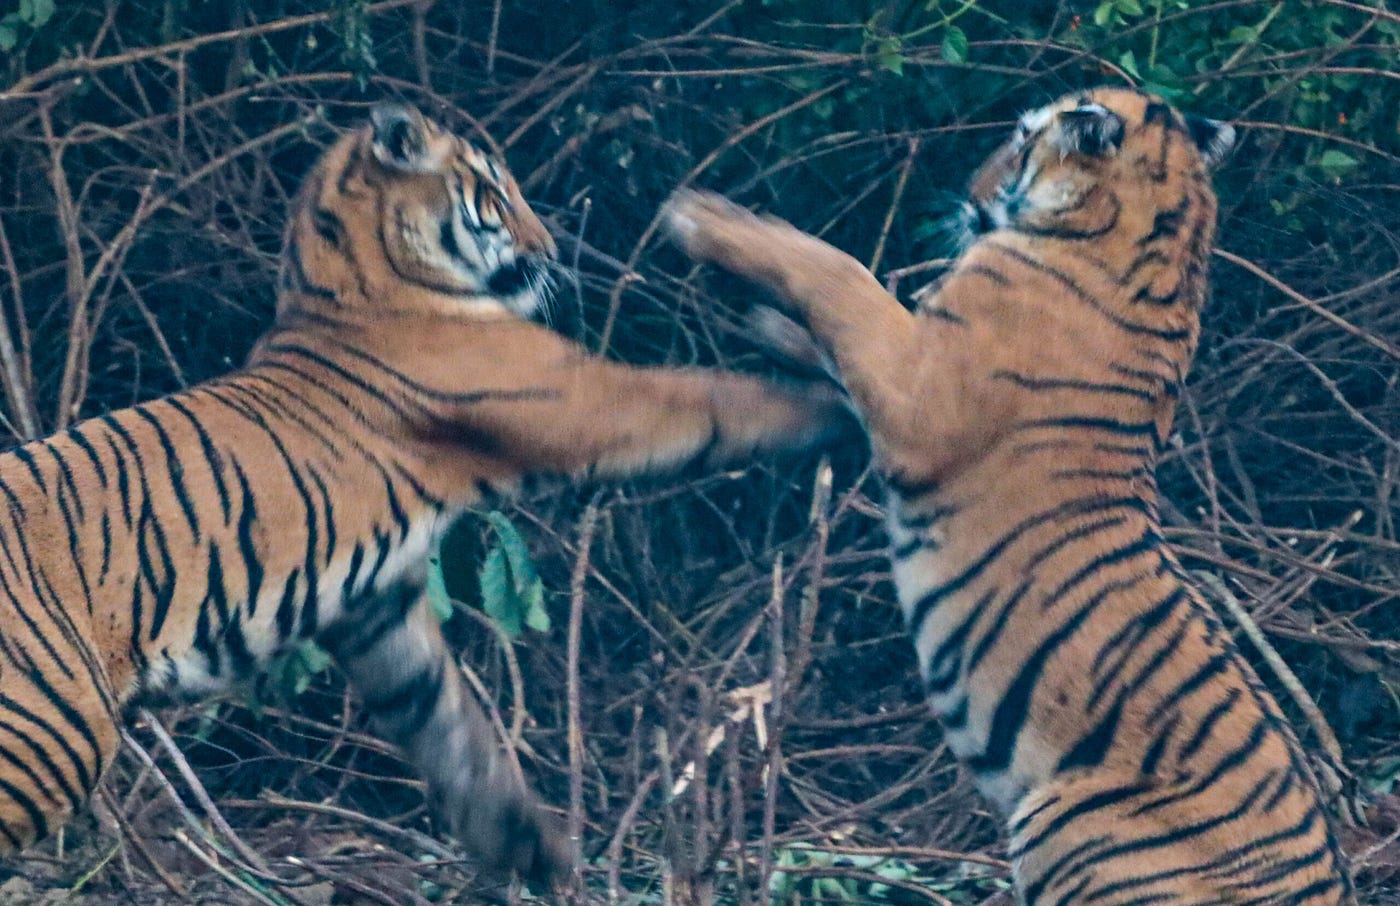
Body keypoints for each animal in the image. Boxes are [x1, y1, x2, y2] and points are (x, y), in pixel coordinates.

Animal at [0, 103, 850, 886]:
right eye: (496, 192)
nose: (550, 250)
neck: (354, 278)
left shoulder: (378, 607)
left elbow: (450, 726)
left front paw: (527, 845)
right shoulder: (583, 397)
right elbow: (716, 399)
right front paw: (829, 405)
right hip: (52, 736)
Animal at [663, 88, 1354, 903]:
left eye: (1022, 140)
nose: (967, 187)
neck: (1158, 234)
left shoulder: (917, 393)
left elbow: (841, 275)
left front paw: (703, 217)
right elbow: (839, 323)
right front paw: (764, 323)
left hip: (1062, 821)